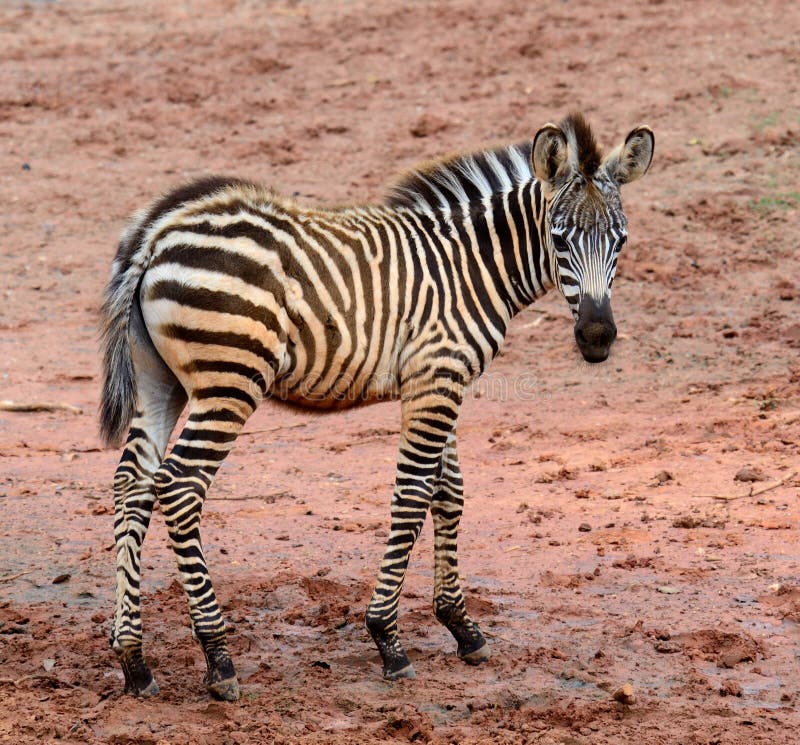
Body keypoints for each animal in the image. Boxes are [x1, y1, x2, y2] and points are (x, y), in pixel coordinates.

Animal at [100, 113, 654, 700]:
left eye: (621, 241)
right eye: (559, 239)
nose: (597, 338)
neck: (470, 266)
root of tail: (160, 231)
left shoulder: (439, 379)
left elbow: (448, 493)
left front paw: (462, 626)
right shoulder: (437, 378)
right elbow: (412, 497)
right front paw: (387, 639)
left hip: (161, 381)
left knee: (132, 483)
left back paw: (134, 658)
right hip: (229, 381)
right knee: (179, 487)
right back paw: (218, 657)